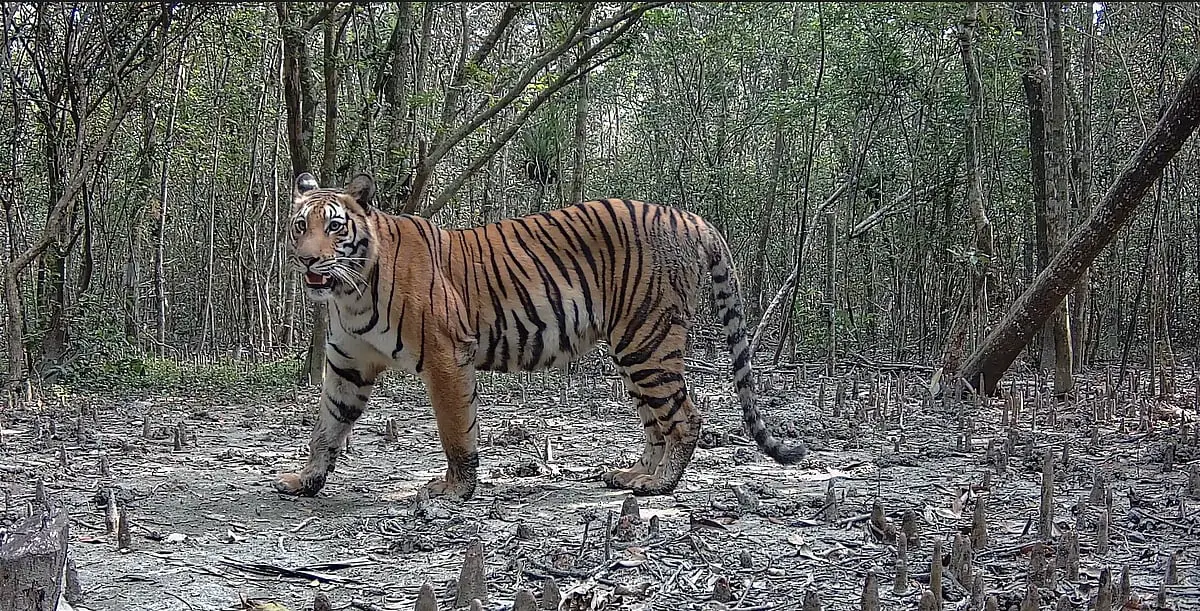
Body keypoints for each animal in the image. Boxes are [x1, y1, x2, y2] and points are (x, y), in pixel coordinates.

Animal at [275, 172, 806, 500]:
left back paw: (660, 486)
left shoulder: (447, 355)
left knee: (685, 416)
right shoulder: (347, 363)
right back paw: (636, 475)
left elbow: (455, 431)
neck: (350, 292)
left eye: (335, 227)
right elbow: (326, 427)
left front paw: (454, 491)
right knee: (657, 421)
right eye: (300, 226)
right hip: (633, 350)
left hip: (648, 340)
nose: (306, 258)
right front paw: (305, 480)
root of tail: (691, 217)